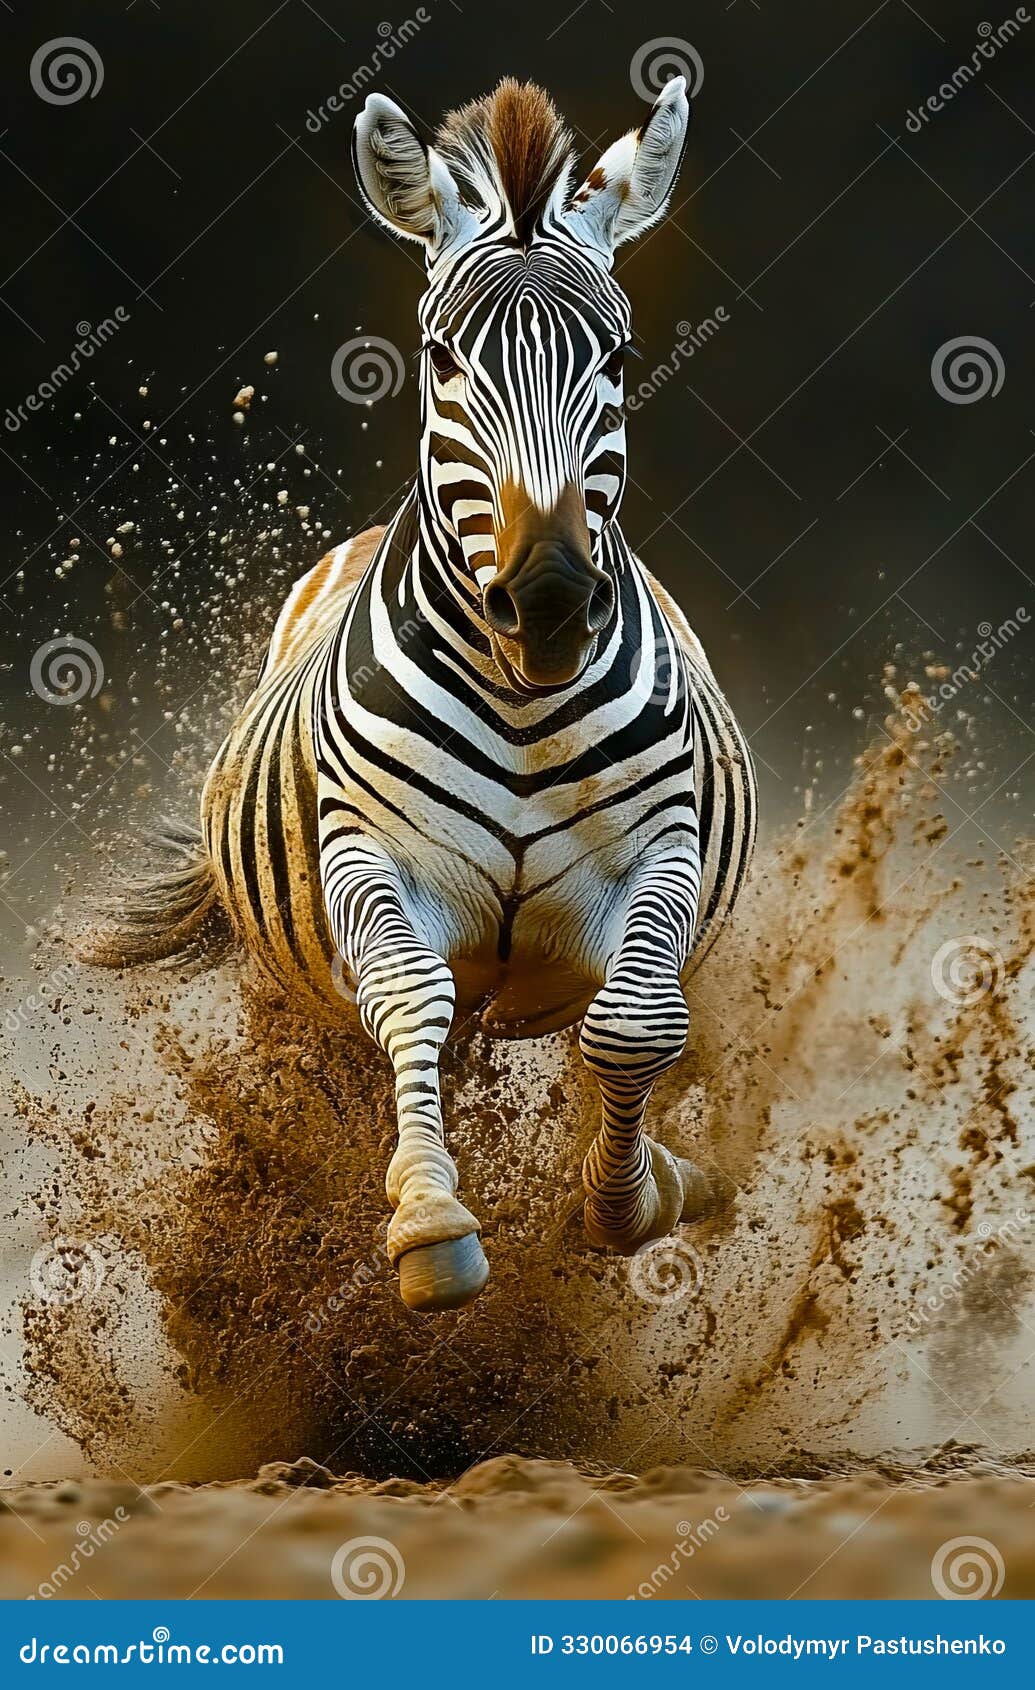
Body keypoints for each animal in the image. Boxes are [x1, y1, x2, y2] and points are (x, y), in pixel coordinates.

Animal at [89, 77, 756, 1314]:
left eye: (619, 358)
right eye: (444, 357)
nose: (548, 602)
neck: (526, 706)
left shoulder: (662, 854)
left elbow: (636, 1022)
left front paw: (635, 1195)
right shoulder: (371, 858)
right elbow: (407, 995)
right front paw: (430, 1219)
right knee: (370, 1049)